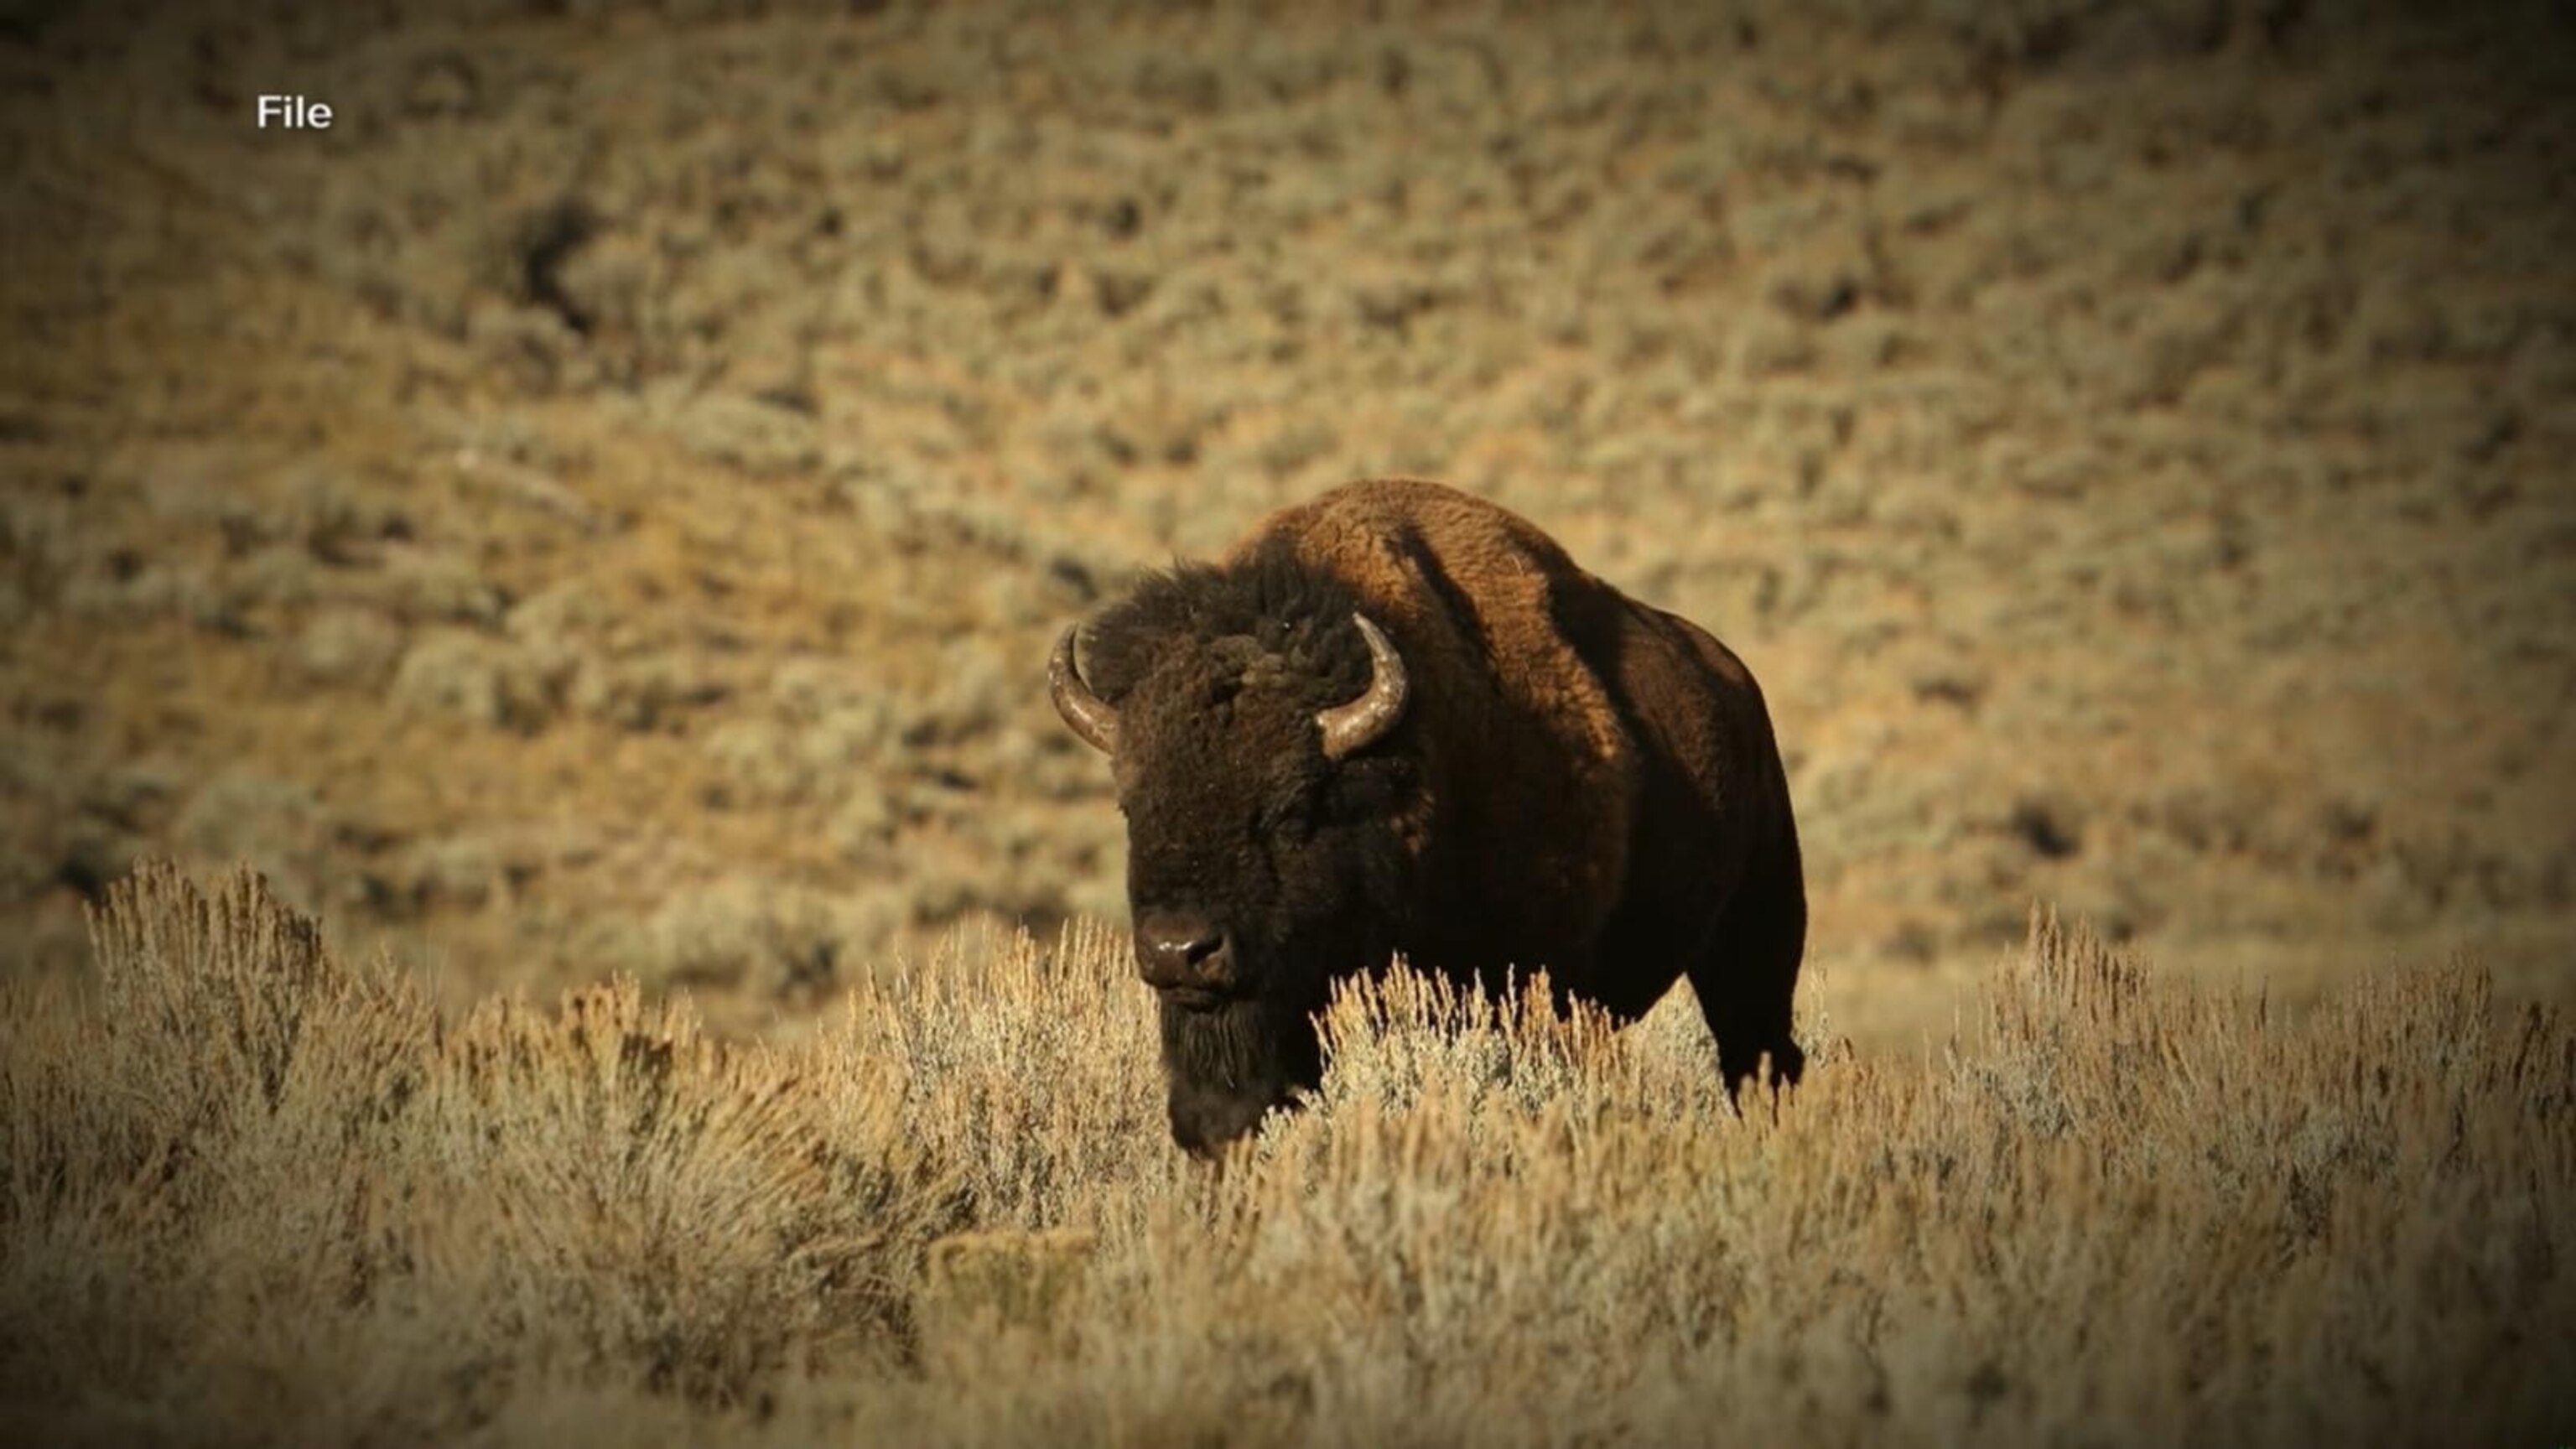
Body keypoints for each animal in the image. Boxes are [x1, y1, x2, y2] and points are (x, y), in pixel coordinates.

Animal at [1048, 478, 1806, 1155]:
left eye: (1295, 810)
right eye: (1132, 805)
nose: (1181, 951)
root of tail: (1739, 686)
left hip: (1755, 939)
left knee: (1761, 1059)